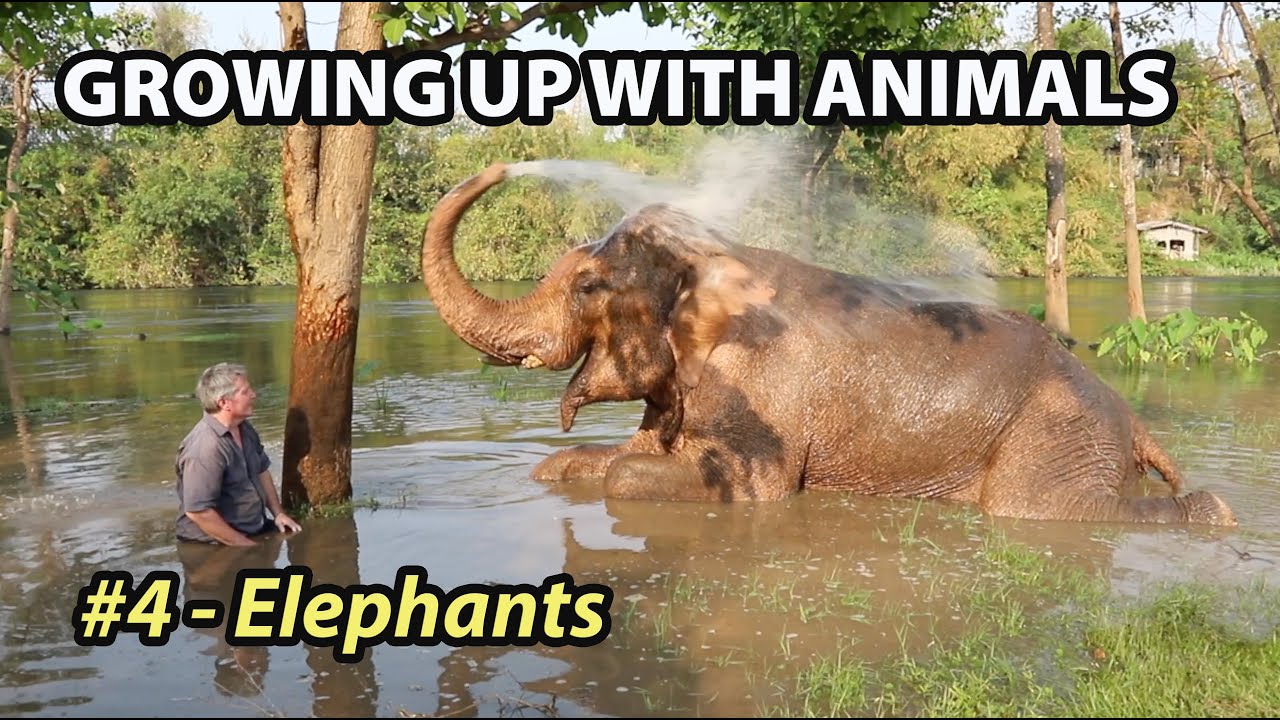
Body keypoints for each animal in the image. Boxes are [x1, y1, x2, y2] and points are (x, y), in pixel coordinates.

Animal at [420, 163, 1237, 527]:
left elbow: (721, 484)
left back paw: (1218, 511)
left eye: (588, 285)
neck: (710, 259)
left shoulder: (760, 393)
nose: (503, 163)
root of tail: (1130, 416)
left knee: (1042, 512)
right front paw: (563, 468)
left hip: (1059, 434)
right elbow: (588, 463)